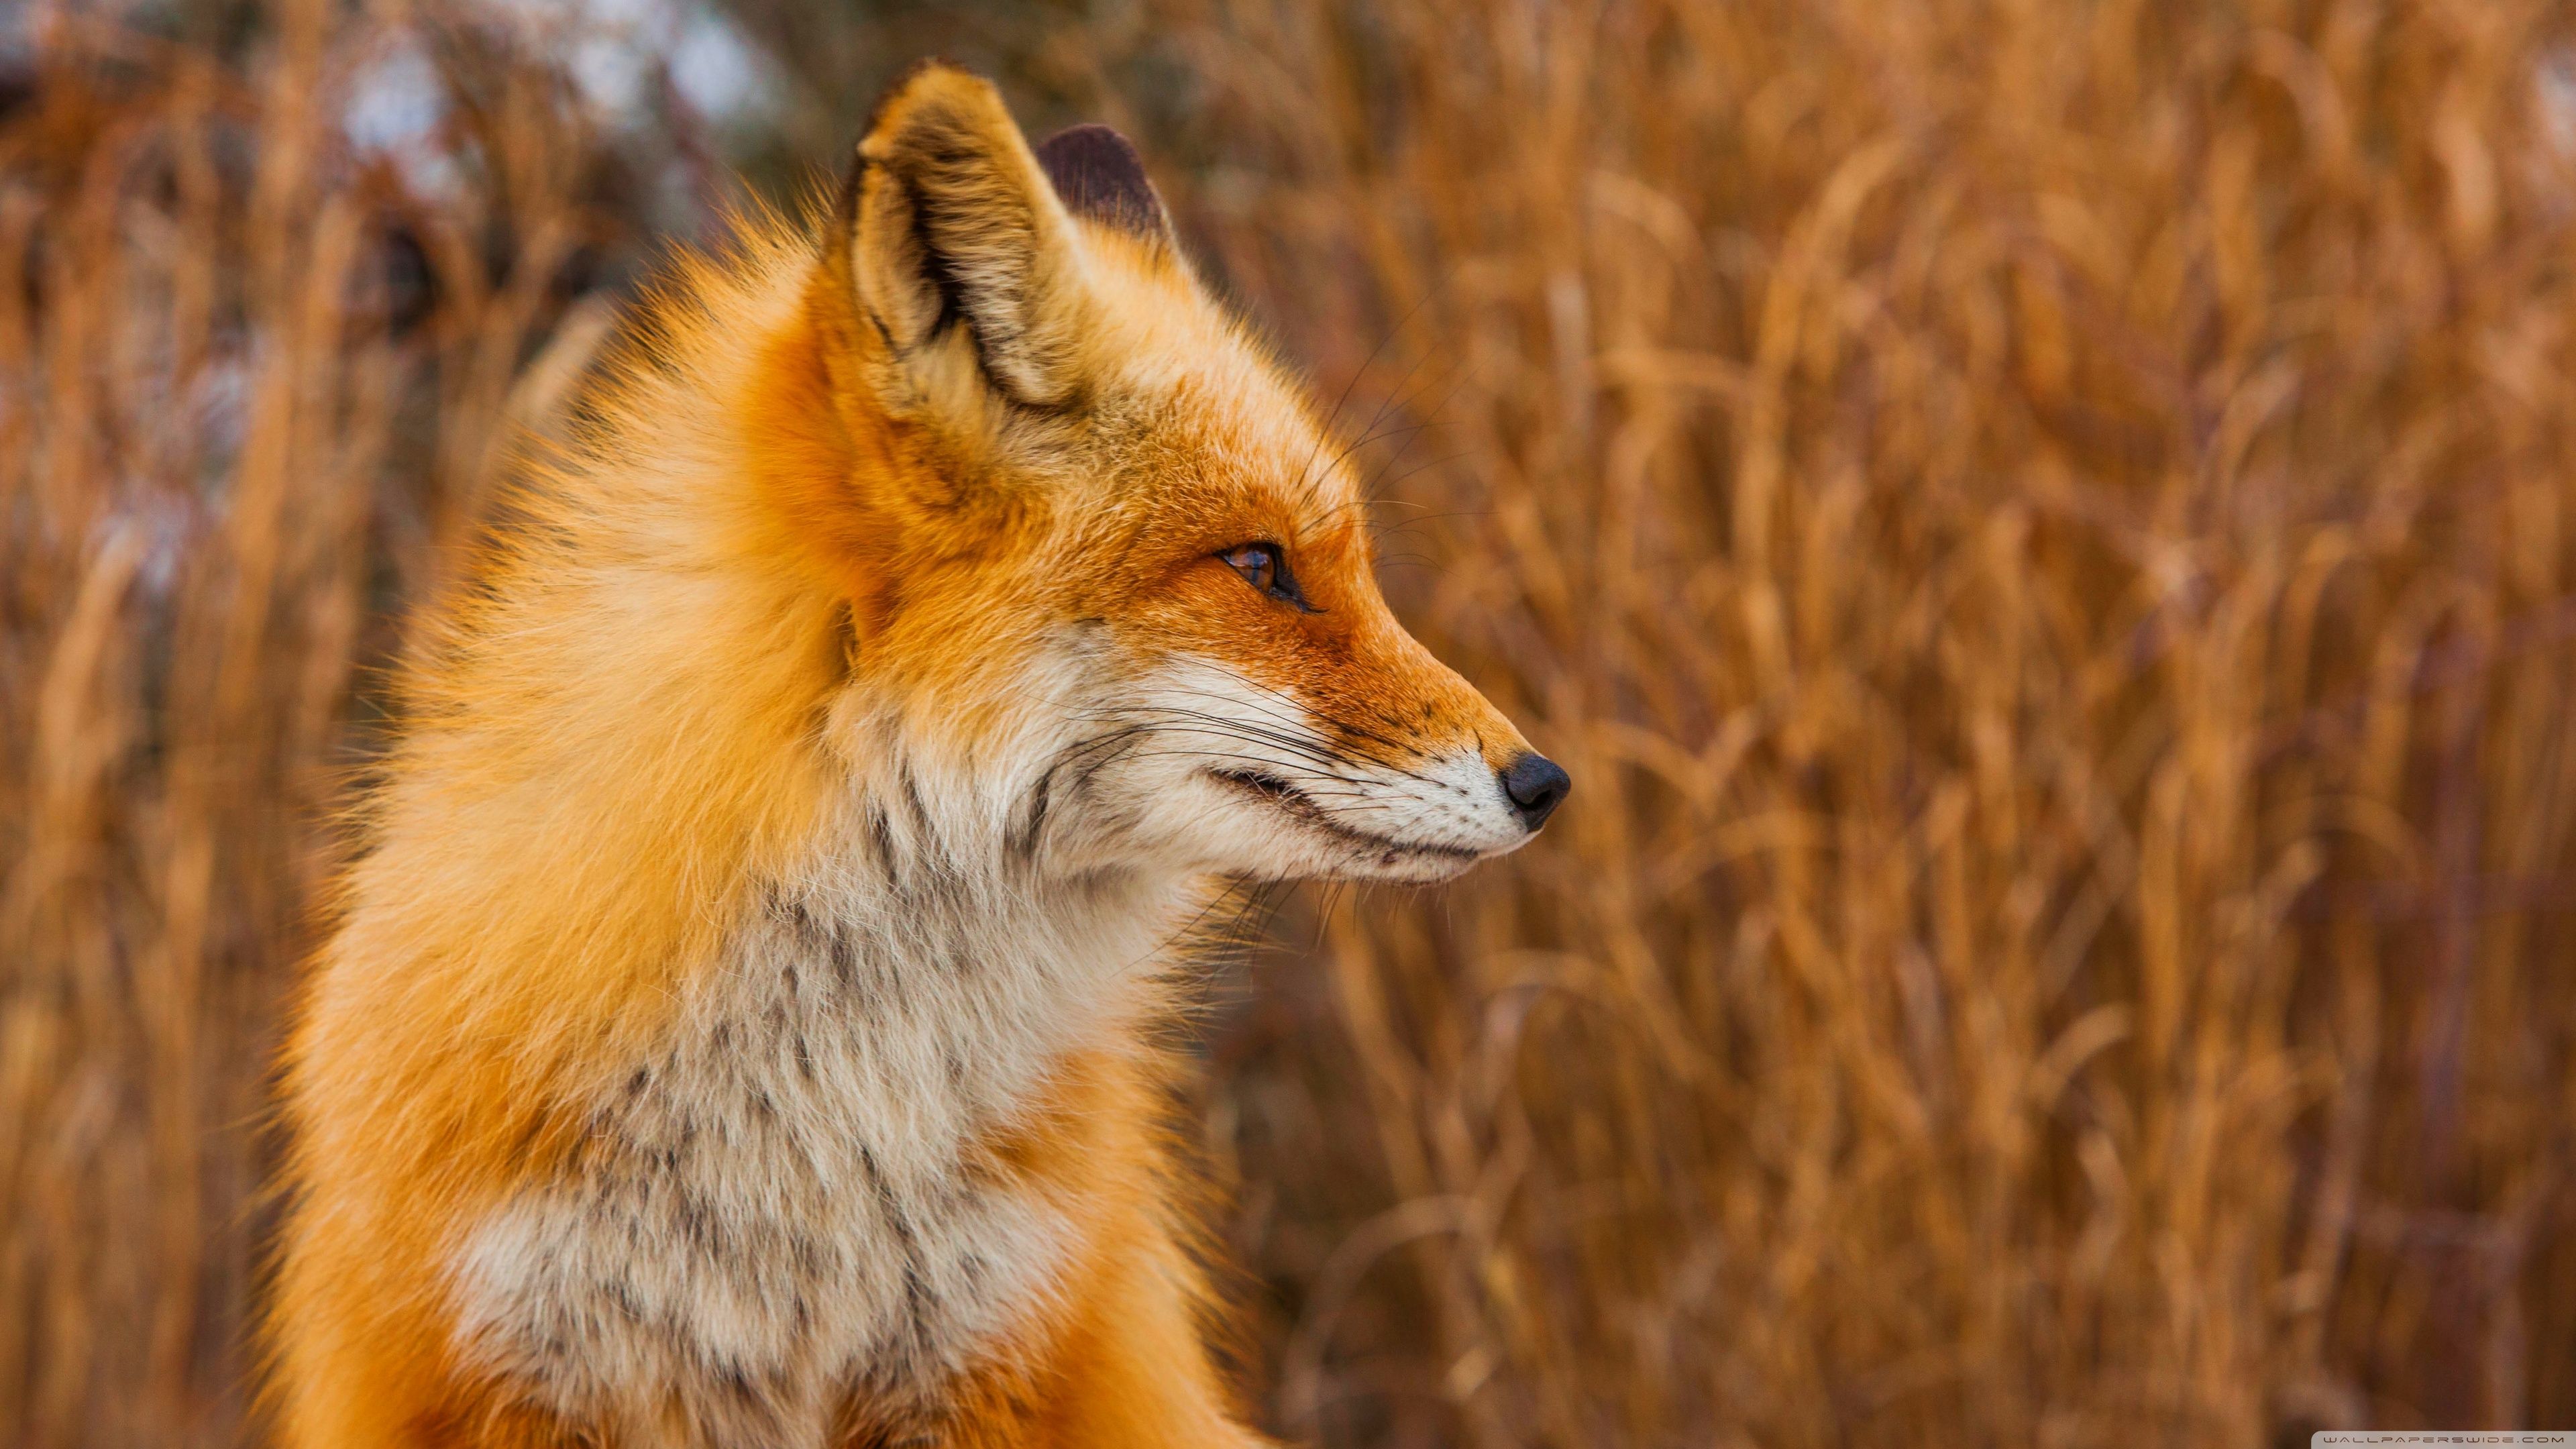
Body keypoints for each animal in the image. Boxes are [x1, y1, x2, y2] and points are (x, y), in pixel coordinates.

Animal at [268, 62, 1569, 1449]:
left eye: (1347, 566)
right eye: (1261, 567)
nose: (1545, 784)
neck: (809, 1137)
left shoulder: (1008, 1342)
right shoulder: (488, 1364)